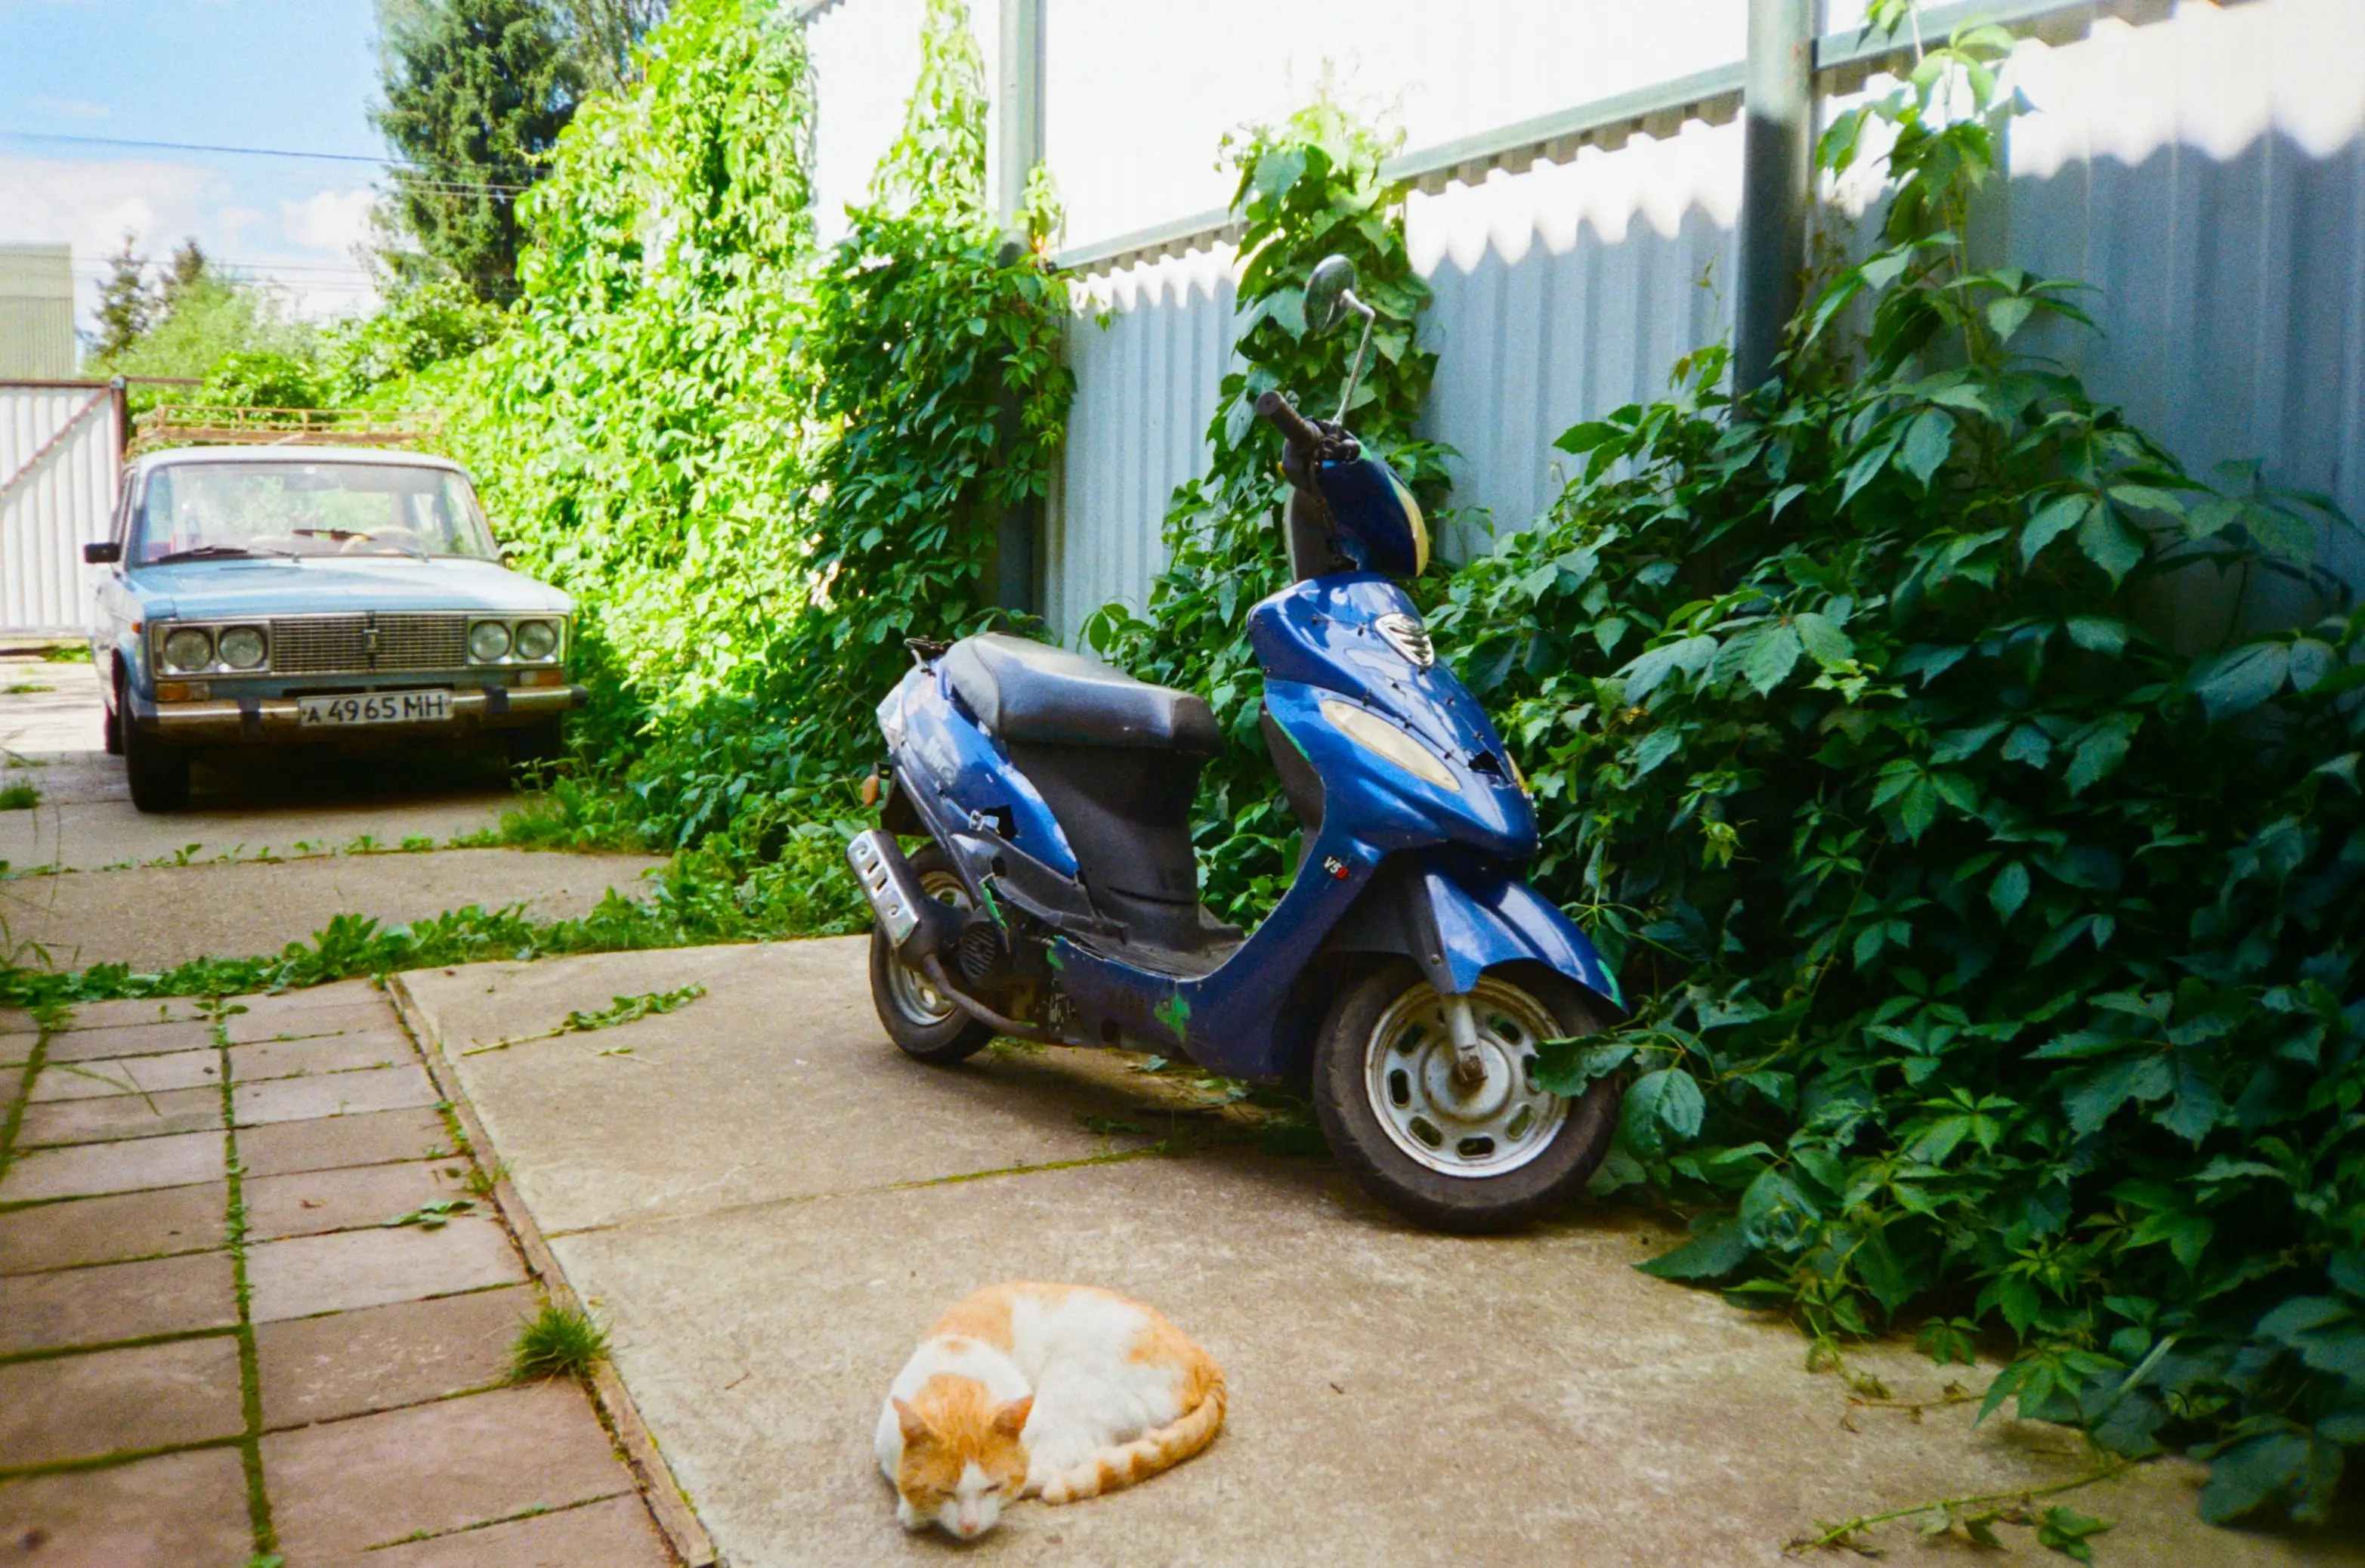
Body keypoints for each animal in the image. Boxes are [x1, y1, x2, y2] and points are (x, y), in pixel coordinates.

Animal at [880, 1286, 1229, 1542]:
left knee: (1064, 1457)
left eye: (991, 1487)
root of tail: (1201, 1358)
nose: (969, 1526)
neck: (958, 1374)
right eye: (945, 1491)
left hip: (1068, 1389)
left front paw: (914, 1512)